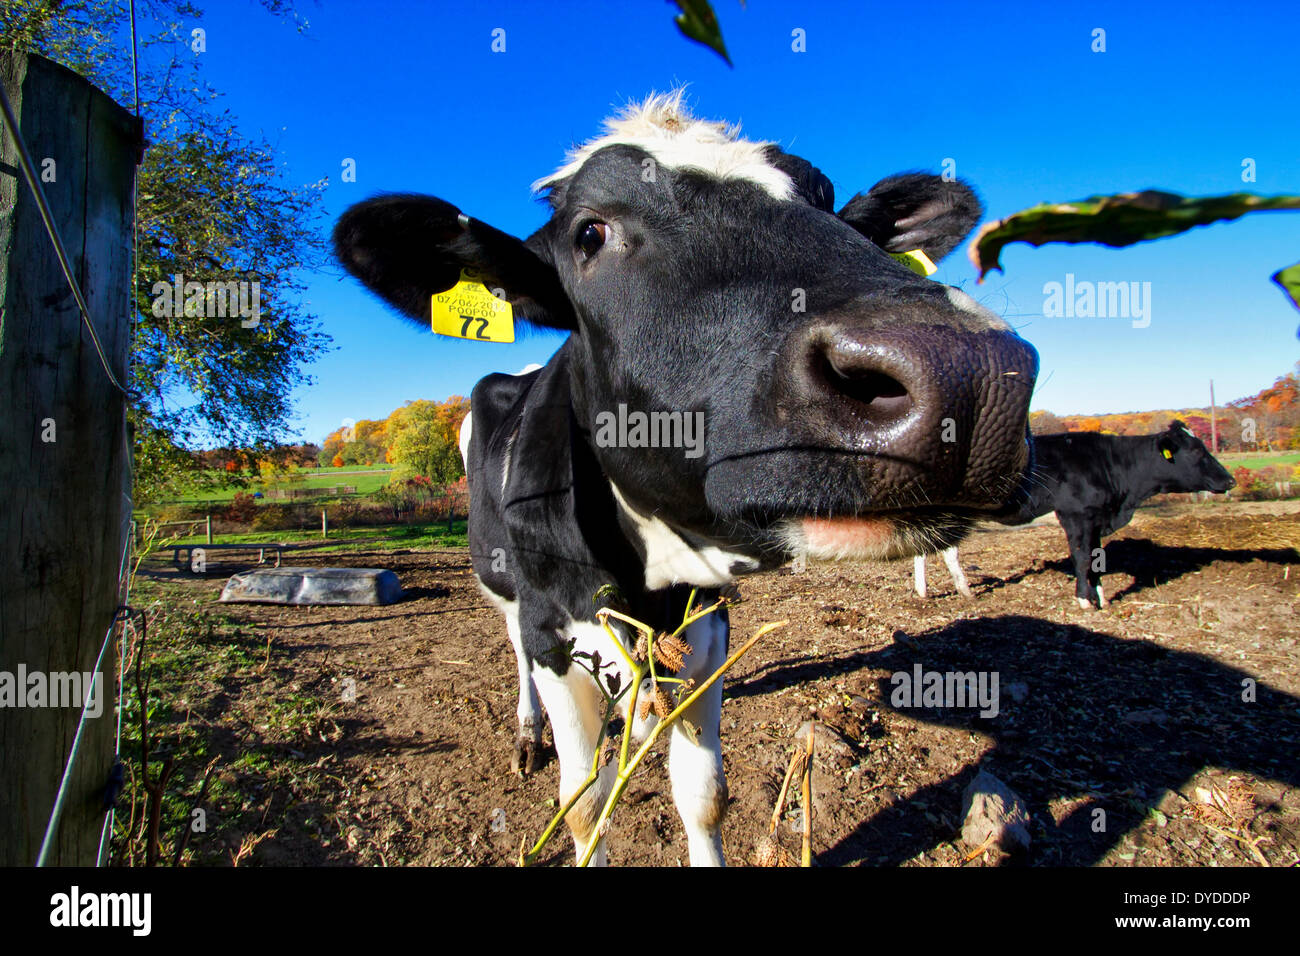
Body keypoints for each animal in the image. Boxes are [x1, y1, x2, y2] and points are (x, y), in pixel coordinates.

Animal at [333, 92, 1038, 866]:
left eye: (831, 207)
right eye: (590, 232)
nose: (967, 372)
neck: (649, 585)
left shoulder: (709, 632)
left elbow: (704, 796)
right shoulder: (553, 632)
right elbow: (583, 809)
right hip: (500, 588)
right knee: (513, 649)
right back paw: (527, 732)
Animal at [915, 423, 1235, 610]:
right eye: (1196, 452)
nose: (1230, 481)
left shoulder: (1096, 518)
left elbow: (1096, 558)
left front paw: (1102, 598)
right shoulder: (1076, 515)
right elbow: (1082, 558)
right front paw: (1085, 601)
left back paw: (936, 591)